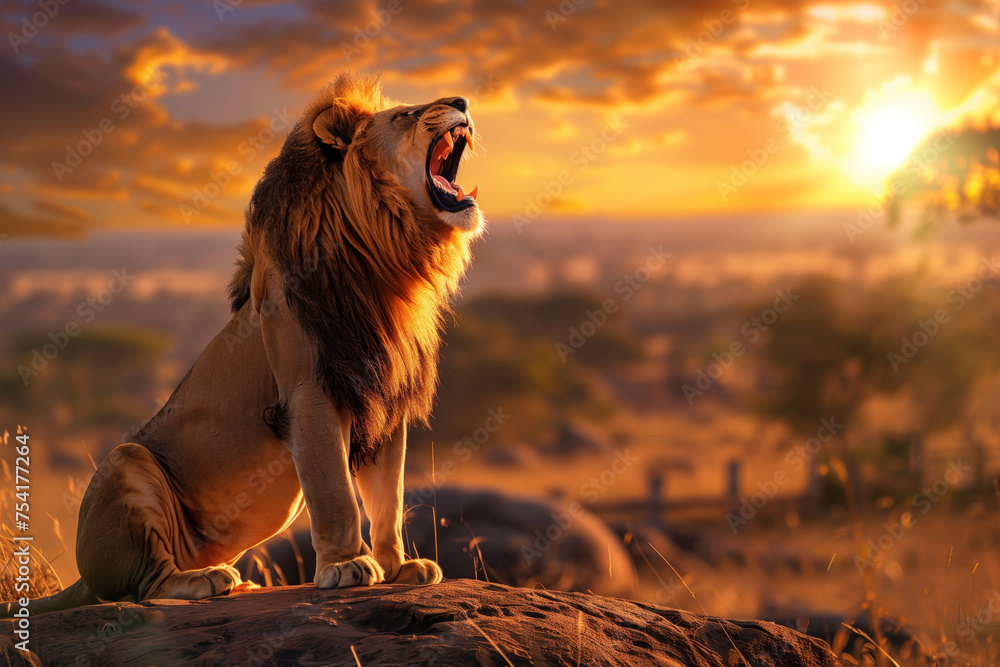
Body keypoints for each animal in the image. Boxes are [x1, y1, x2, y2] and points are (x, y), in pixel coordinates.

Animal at [4, 73, 483, 615]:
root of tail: (82, 577)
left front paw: (399, 567)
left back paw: (239, 582)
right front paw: (345, 567)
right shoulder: (309, 393)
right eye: (405, 116)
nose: (462, 99)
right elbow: (336, 494)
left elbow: (389, 499)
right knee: (148, 583)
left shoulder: (382, 398)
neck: (388, 264)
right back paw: (207, 580)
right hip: (126, 462)